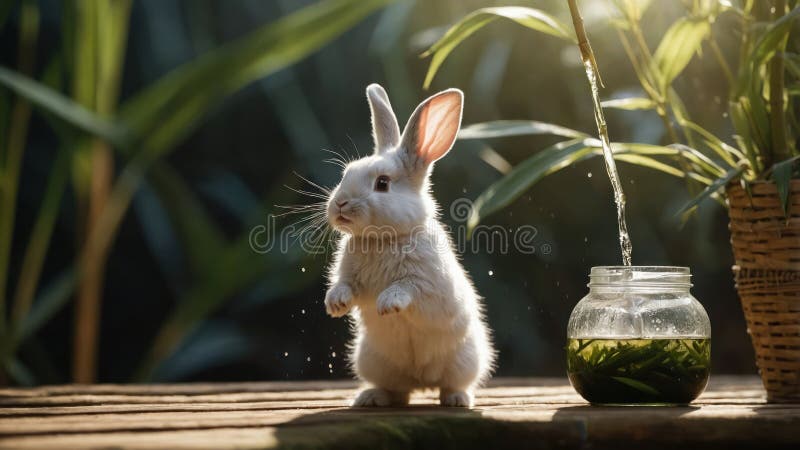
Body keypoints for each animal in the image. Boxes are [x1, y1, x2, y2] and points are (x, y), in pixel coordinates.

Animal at [323, 83, 495, 407]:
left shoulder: (428, 285)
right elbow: (345, 285)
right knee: (396, 391)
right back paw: (370, 397)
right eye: (345, 174)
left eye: (382, 183)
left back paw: (457, 400)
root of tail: (422, 381)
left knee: (453, 384)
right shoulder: (349, 275)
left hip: (466, 361)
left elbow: (407, 289)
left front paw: (387, 304)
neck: (384, 238)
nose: (340, 204)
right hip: (373, 361)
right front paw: (336, 304)